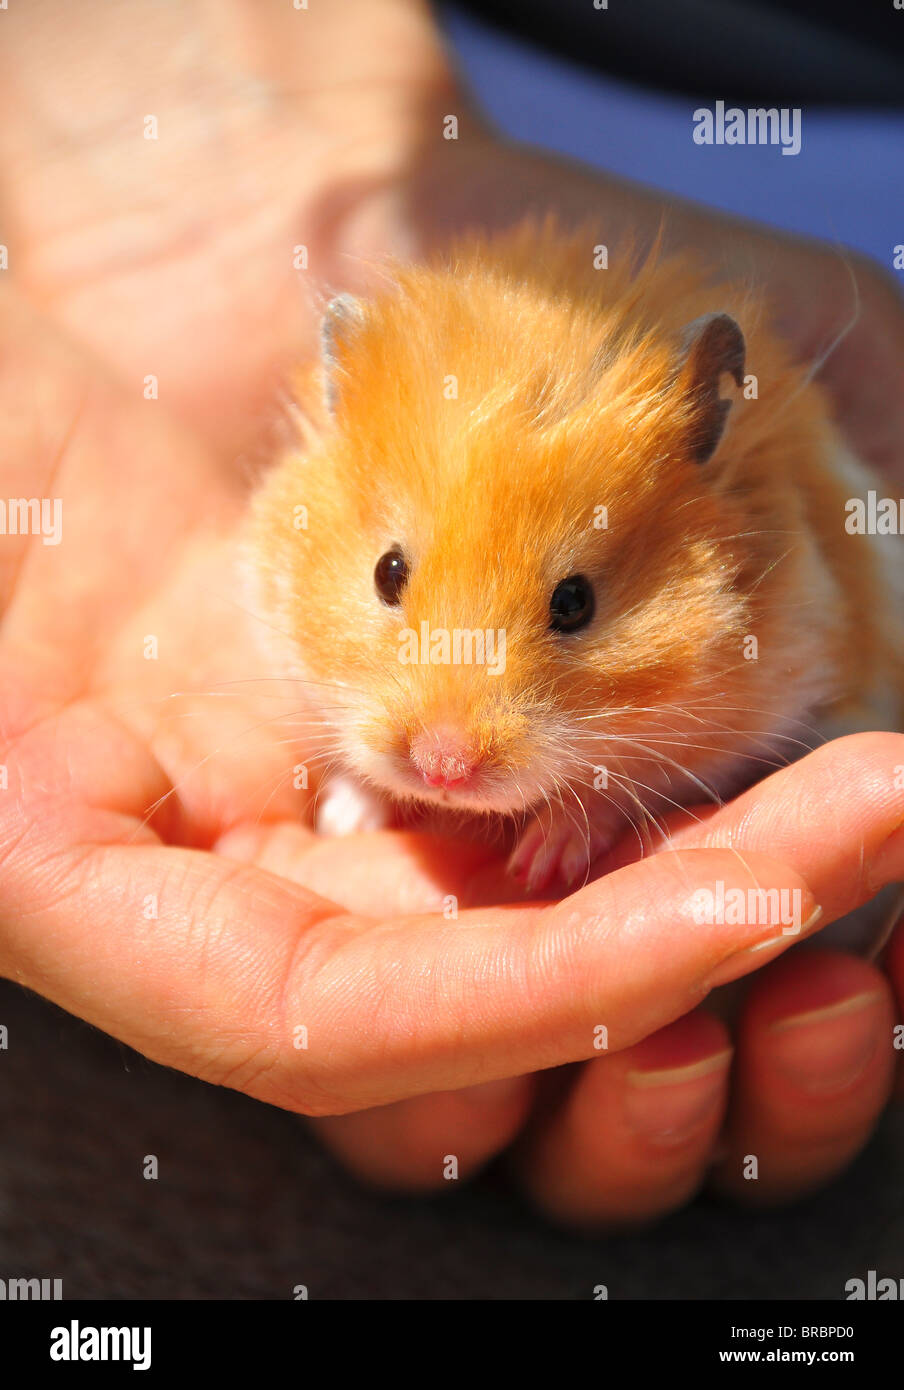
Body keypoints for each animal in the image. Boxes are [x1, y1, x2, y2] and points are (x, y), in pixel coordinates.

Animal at [247, 218, 904, 921]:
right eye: (386, 572)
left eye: (574, 602)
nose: (442, 770)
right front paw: (344, 821)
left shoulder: (762, 714)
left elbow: (624, 787)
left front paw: (542, 861)